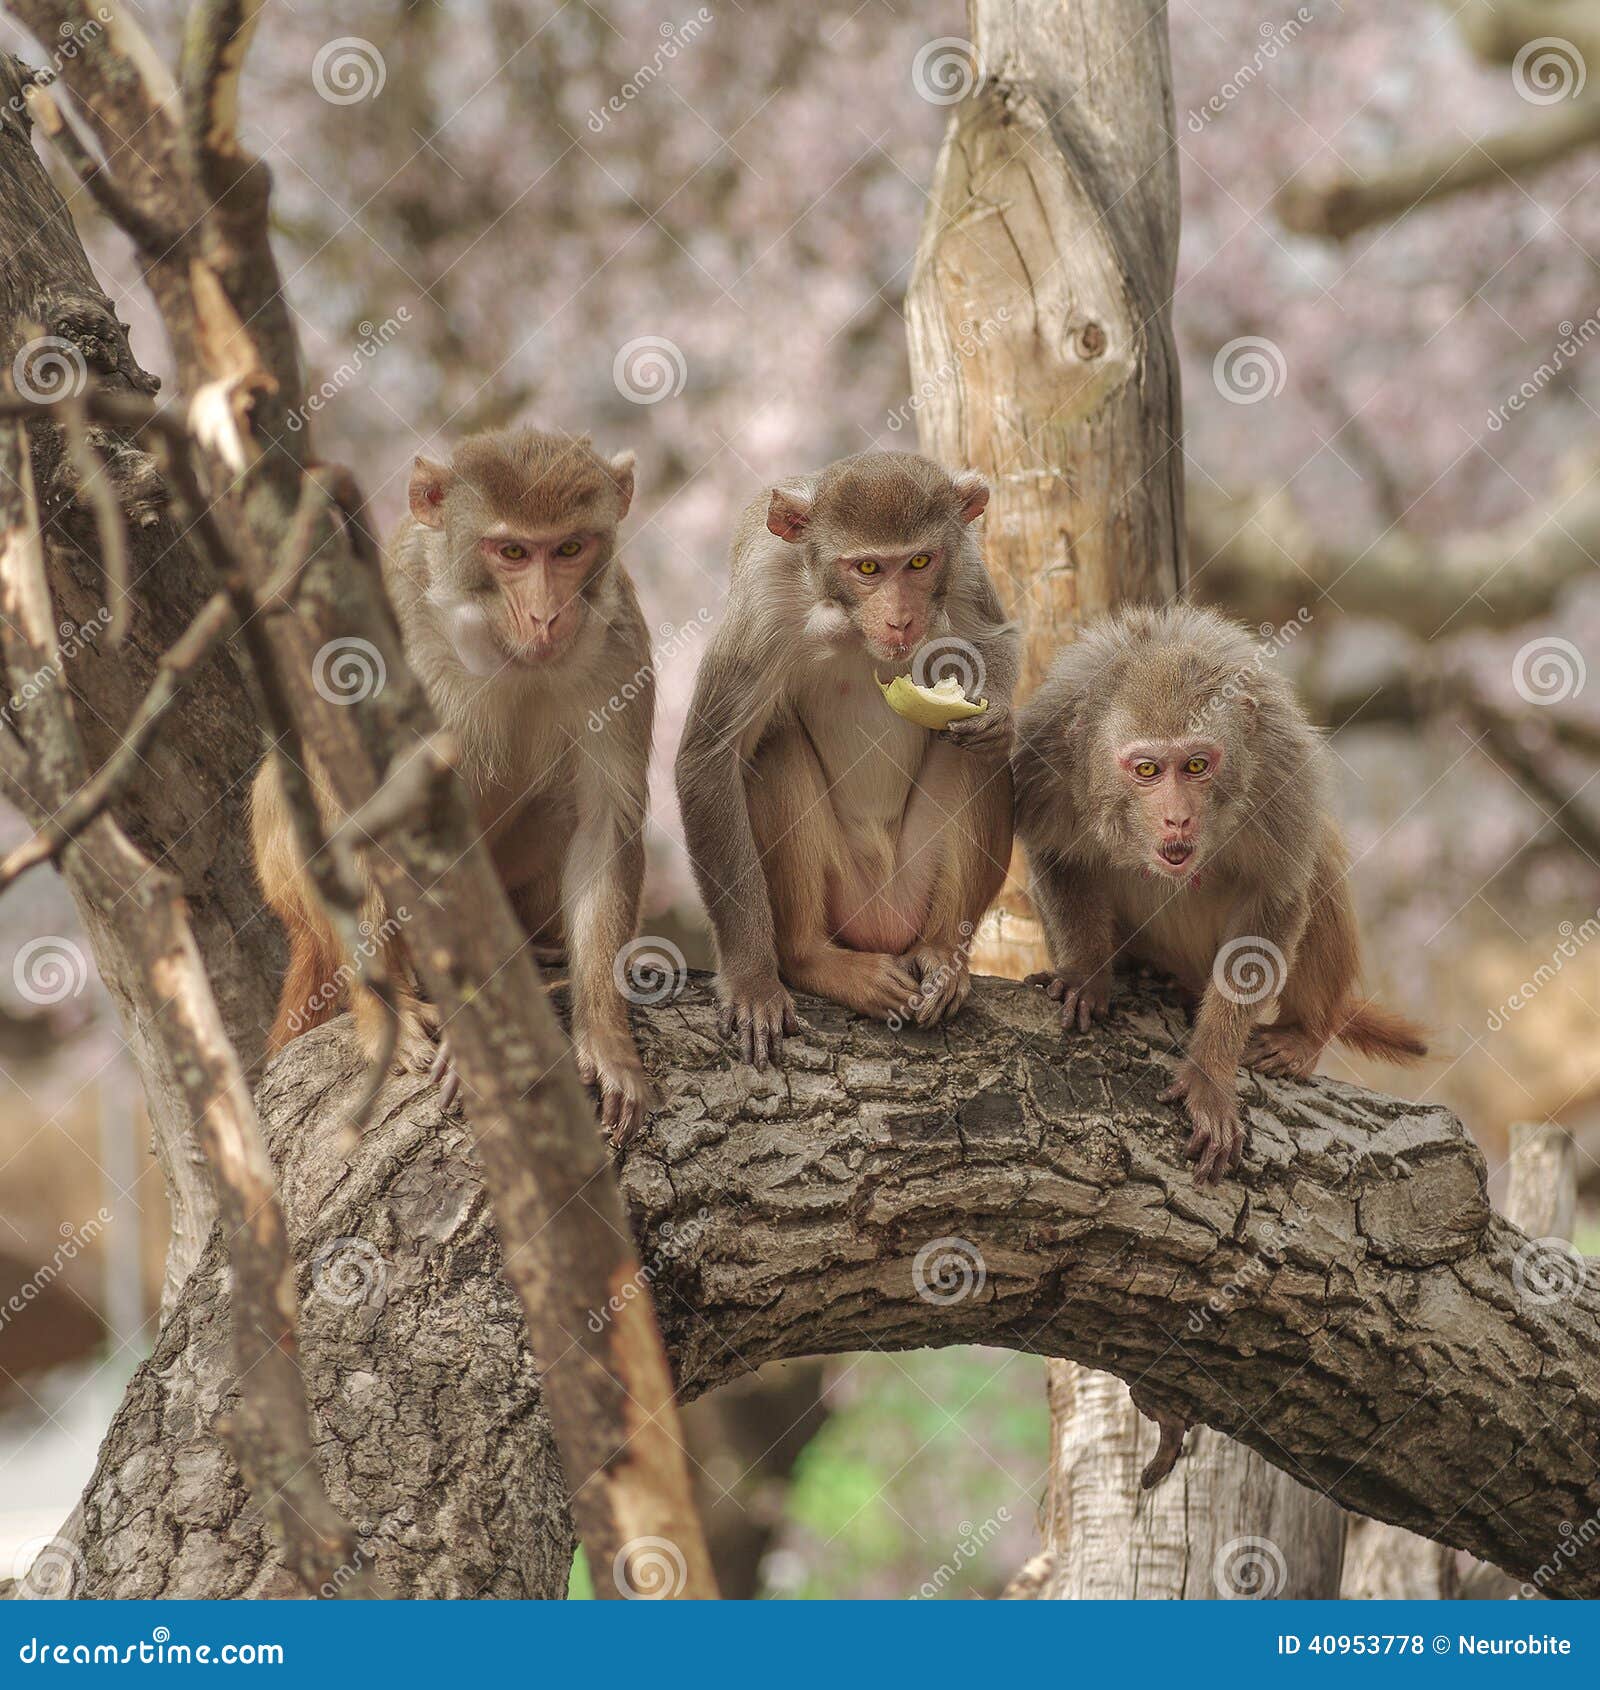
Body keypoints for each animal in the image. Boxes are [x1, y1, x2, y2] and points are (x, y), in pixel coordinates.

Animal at [252, 425, 656, 1143]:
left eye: (570, 548)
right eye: (512, 551)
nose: (547, 617)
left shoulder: (619, 644)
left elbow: (603, 823)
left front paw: (606, 1042)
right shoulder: (394, 643)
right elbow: (369, 807)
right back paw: (388, 1003)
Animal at [675, 450, 1018, 1064]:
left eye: (920, 561)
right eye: (867, 569)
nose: (901, 619)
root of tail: (882, 923)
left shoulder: (966, 567)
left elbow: (994, 640)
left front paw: (996, 716)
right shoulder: (765, 595)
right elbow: (709, 759)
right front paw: (752, 981)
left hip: (912, 889)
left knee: (974, 756)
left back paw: (942, 954)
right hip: (845, 896)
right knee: (773, 743)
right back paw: (814, 961)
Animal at [1012, 602, 1426, 1184]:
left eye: (1196, 766)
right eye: (1147, 769)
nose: (1177, 817)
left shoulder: (1280, 772)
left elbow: (1275, 896)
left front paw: (1209, 1073)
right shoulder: (1046, 764)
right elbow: (1060, 855)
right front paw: (1087, 975)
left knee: (1317, 858)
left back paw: (1303, 1031)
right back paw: (1148, 974)